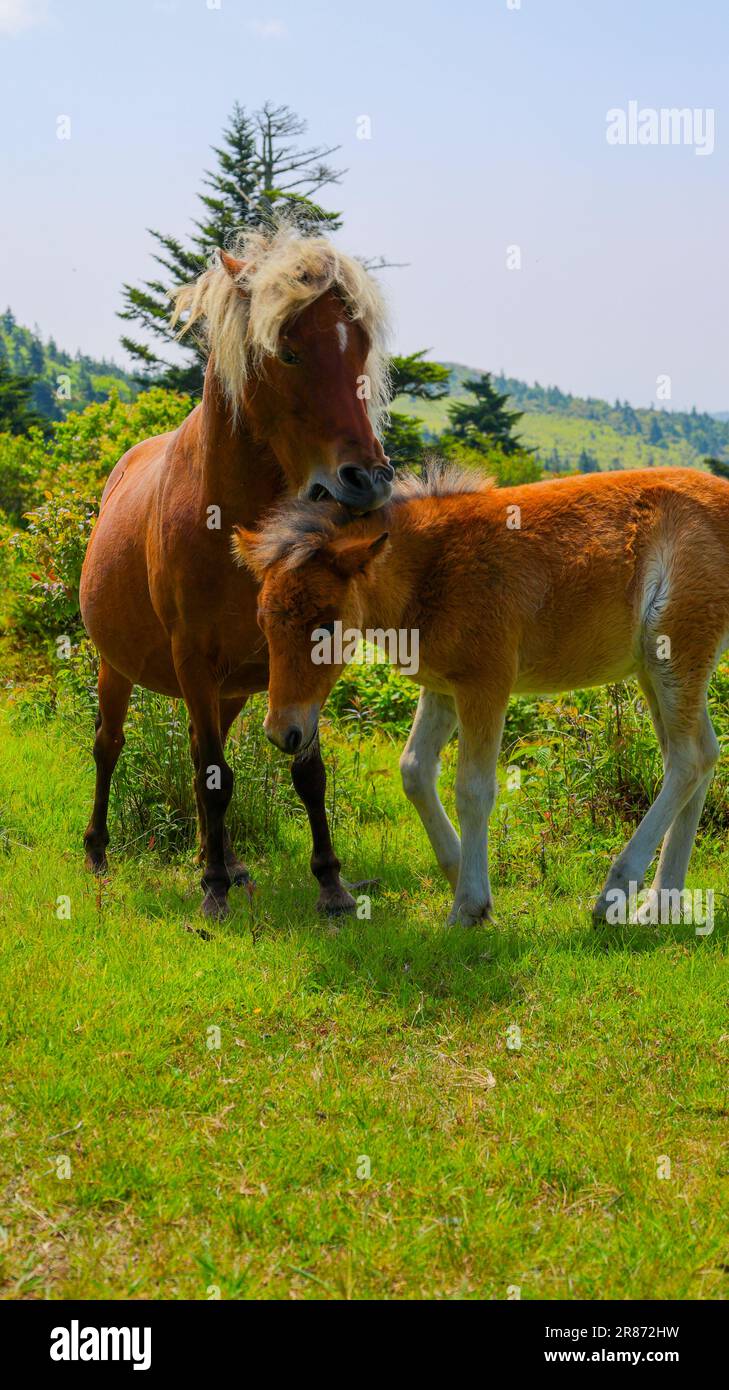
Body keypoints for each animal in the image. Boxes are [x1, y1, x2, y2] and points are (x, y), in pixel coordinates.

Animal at [79, 224, 394, 919]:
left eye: (360, 349)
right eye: (289, 353)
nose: (368, 480)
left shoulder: (296, 656)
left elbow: (304, 771)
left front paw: (330, 883)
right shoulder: (193, 659)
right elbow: (213, 774)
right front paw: (214, 892)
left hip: (233, 689)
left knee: (205, 755)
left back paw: (216, 856)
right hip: (117, 667)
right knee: (110, 747)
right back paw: (100, 853)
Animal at [233, 462, 729, 926]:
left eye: (325, 626)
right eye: (261, 621)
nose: (283, 732)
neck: (433, 566)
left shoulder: (485, 684)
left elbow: (472, 789)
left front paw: (469, 905)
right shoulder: (442, 689)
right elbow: (414, 771)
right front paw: (459, 872)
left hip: (675, 653)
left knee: (687, 760)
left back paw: (615, 892)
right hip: (656, 669)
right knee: (700, 755)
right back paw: (661, 904)